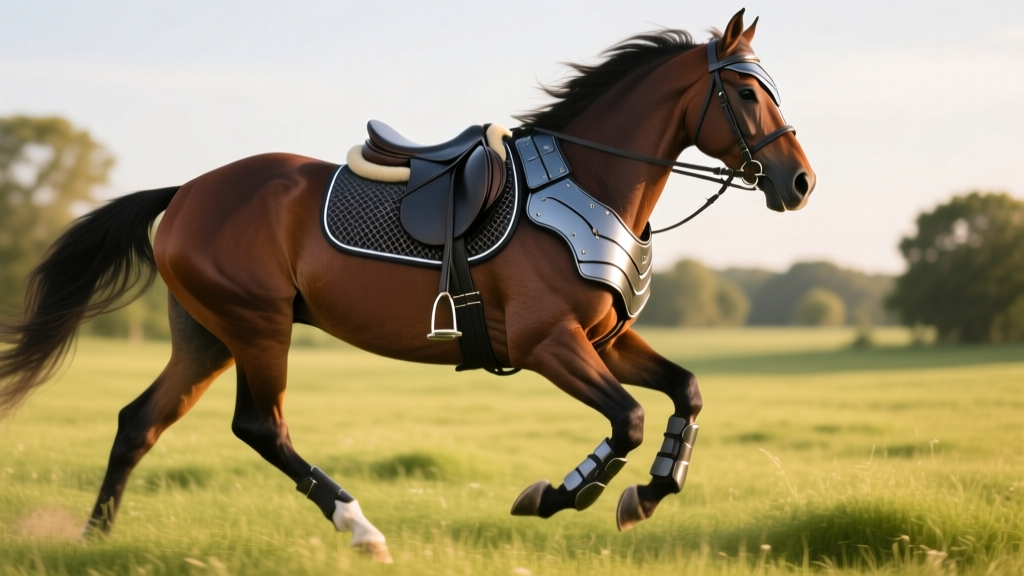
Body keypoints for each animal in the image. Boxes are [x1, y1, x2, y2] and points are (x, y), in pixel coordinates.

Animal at [0, 9, 814, 563]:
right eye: (747, 95)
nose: (800, 182)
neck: (587, 181)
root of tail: (187, 190)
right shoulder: (548, 344)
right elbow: (631, 421)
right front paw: (557, 496)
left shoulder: (606, 339)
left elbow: (686, 393)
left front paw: (647, 494)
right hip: (257, 327)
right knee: (262, 428)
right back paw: (361, 530)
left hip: (206, 337)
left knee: (139, 421)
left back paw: (93, 540)